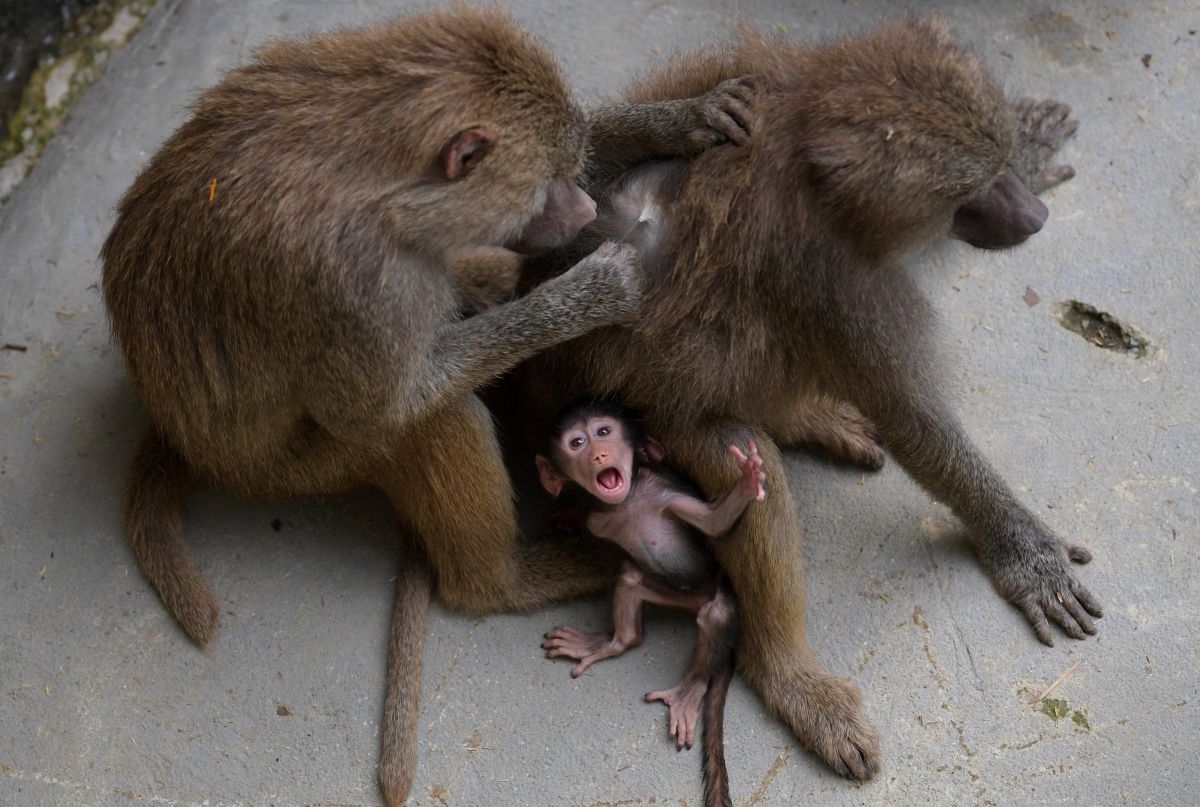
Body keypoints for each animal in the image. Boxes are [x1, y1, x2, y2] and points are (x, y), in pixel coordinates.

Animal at [535, 400, 765, 807]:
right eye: (577, 442)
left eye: (604, 432)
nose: (599, 454)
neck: (627, 503)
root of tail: (698, 592)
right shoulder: (599, 518)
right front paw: (564, 517)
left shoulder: (664, 496)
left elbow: (715, 522)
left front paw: (749, 479)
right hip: (670, 590)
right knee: (629, 578)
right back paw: (614, 641)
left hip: (713, 591)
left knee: (715, 615)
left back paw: (689, 690)